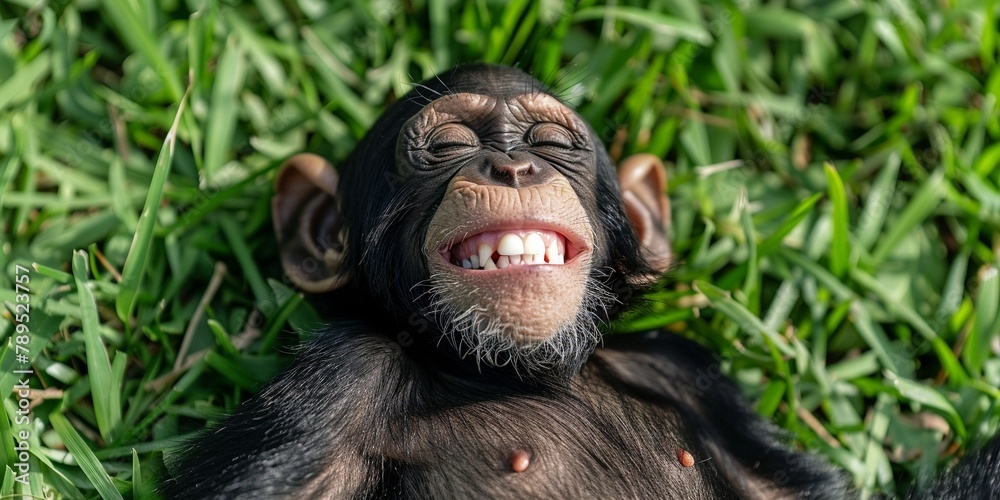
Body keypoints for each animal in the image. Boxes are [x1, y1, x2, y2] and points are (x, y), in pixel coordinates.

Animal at [160, 64, 998, 499]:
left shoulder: (688, 374)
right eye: (448, 145)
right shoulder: (338, 381)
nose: (512, 165)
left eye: (551, 143)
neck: (507, 372)